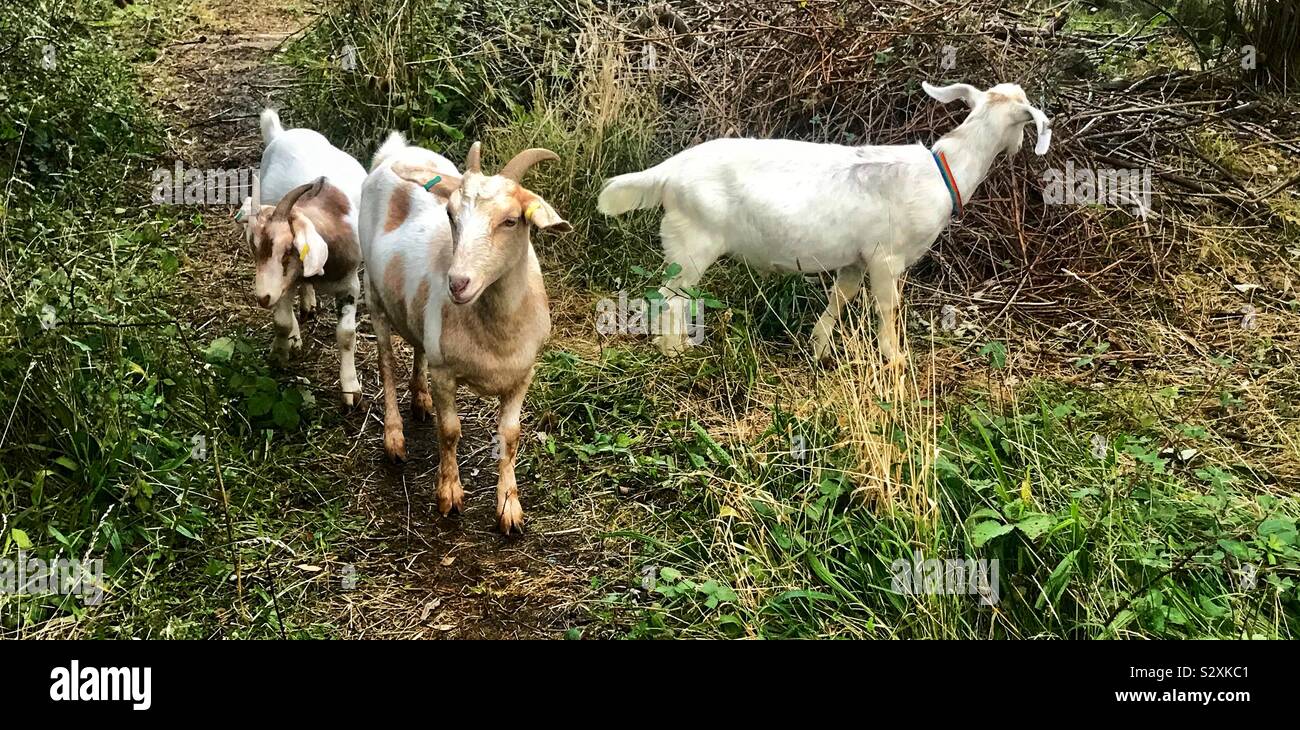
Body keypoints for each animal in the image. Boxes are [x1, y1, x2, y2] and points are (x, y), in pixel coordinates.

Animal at [237, 109, 368, 405]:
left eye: (289, 249)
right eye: (253, 246)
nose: (262, 297)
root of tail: (281, 133)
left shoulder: (350, 284)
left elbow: (346, 334)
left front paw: (351, 390)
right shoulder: (283, 283)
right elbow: (282, 322)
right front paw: (280, 354)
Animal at [358, 133, 571, 533]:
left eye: (511, 220)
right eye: (450, 216)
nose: (457, 283)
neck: (497, 331)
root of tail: (394, 152)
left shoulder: (523, 374)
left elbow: (510, 436)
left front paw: (509, 508)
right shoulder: (445, 373)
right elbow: (450, 431)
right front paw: (449, 495)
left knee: (417, 345)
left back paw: (420, 398)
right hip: (374, 295)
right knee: (386, 360)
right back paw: (394, 437)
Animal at [597, 81, 1051, 362]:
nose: (1018, 152)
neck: (944, 172)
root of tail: (669, 172)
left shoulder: (856, 258)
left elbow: (840, 297)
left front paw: (819, 348)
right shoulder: (886, 257)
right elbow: (887, 306)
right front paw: (894, 358)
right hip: (693, 241)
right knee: (668, 296)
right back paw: (673, 350)